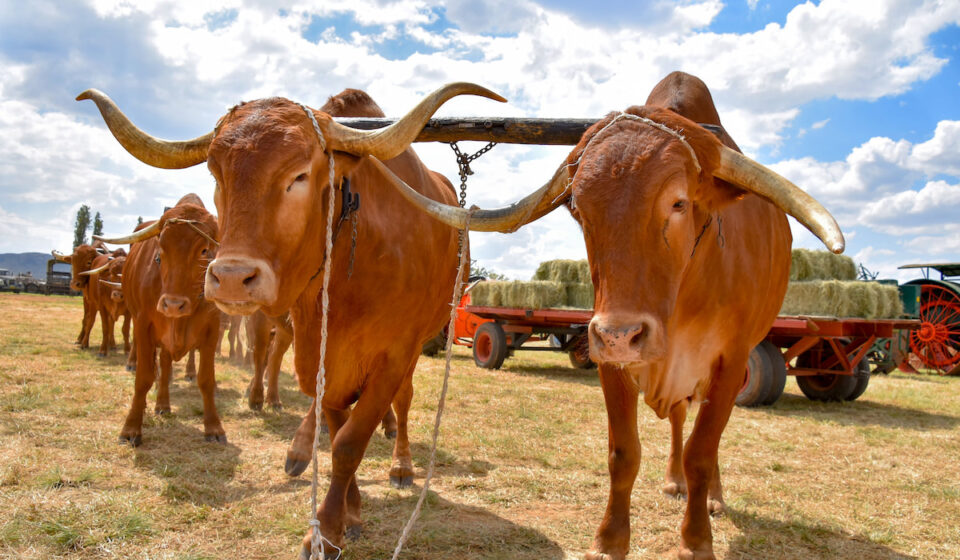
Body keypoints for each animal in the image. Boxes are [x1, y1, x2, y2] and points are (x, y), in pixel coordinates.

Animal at [95, 194, 225, 446]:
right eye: (159, 254)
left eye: (204, 250)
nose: (173, 305)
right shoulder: (143, 325)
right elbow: (144, 377)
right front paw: (131, 428)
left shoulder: (212, 330)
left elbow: (206, 379)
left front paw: (214, 427)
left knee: (165, 365)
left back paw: (163, 403)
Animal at [370, 72, 844, 560]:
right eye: (580, 208)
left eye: (678, 203)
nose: (622, 334)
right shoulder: (609, 358)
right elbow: (624, 452)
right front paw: (609, 540)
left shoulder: (730, 363)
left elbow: (702, 450)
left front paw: (695, 541)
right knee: (678, 418)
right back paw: (673, 482)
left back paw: (712, 497)